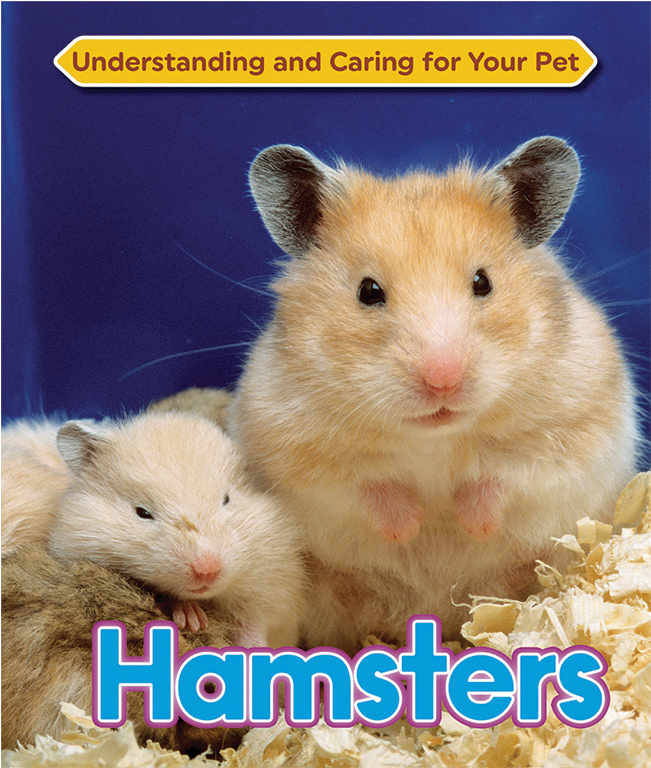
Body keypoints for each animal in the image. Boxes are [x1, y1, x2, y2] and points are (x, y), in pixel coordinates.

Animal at [1, 411, 304, 648]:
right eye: (142, 513)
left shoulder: (271, 583)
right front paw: (192, 620)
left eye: (227, 499)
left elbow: (253, 622)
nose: (208, 570)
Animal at [229, 137, 642, 654]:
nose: (442, 380)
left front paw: (470, 524)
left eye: (483, 282)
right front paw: (410, 529)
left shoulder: (571, 428)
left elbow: (505, 471)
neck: (436, 438)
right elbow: (368, 485)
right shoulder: (297, 449)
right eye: (368, 291)